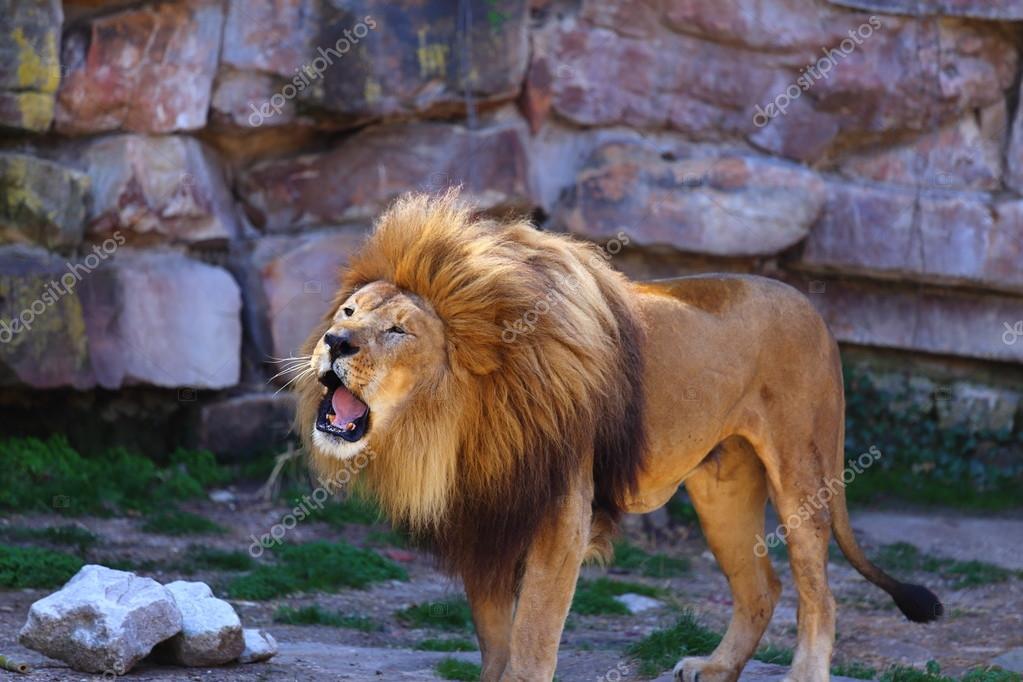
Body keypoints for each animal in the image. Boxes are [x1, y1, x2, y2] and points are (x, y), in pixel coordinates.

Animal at [295, 192, 941, 682]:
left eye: (399, 330)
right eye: (349, 312)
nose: (335, 342)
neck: (457, 417)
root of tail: (814, 310)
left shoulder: (560, 517)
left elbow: (533, 637)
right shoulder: (486, 516)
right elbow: (495, 638)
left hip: (801, 471)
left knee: (818, 592)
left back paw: (802, 674)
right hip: (723, 489)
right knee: (763, 586)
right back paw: (713, 668)